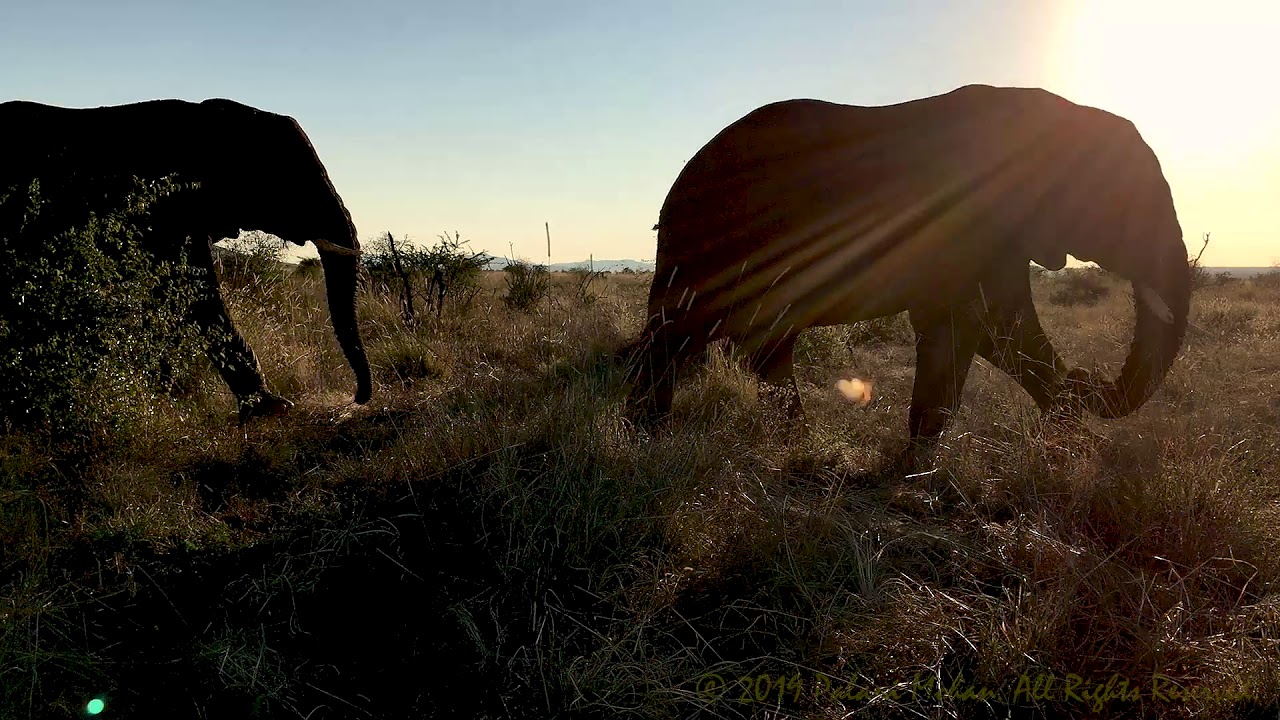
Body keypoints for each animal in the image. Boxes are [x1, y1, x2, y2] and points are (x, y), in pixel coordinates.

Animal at [625, 84, 1191, 444]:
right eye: (1121, 203)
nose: (1091, 378)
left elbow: (997, 329)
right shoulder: (966, 218)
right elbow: (973, 323)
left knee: (766, 341)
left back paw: (795, 443)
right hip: (704, 240)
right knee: (678, 332)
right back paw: (645, 437)